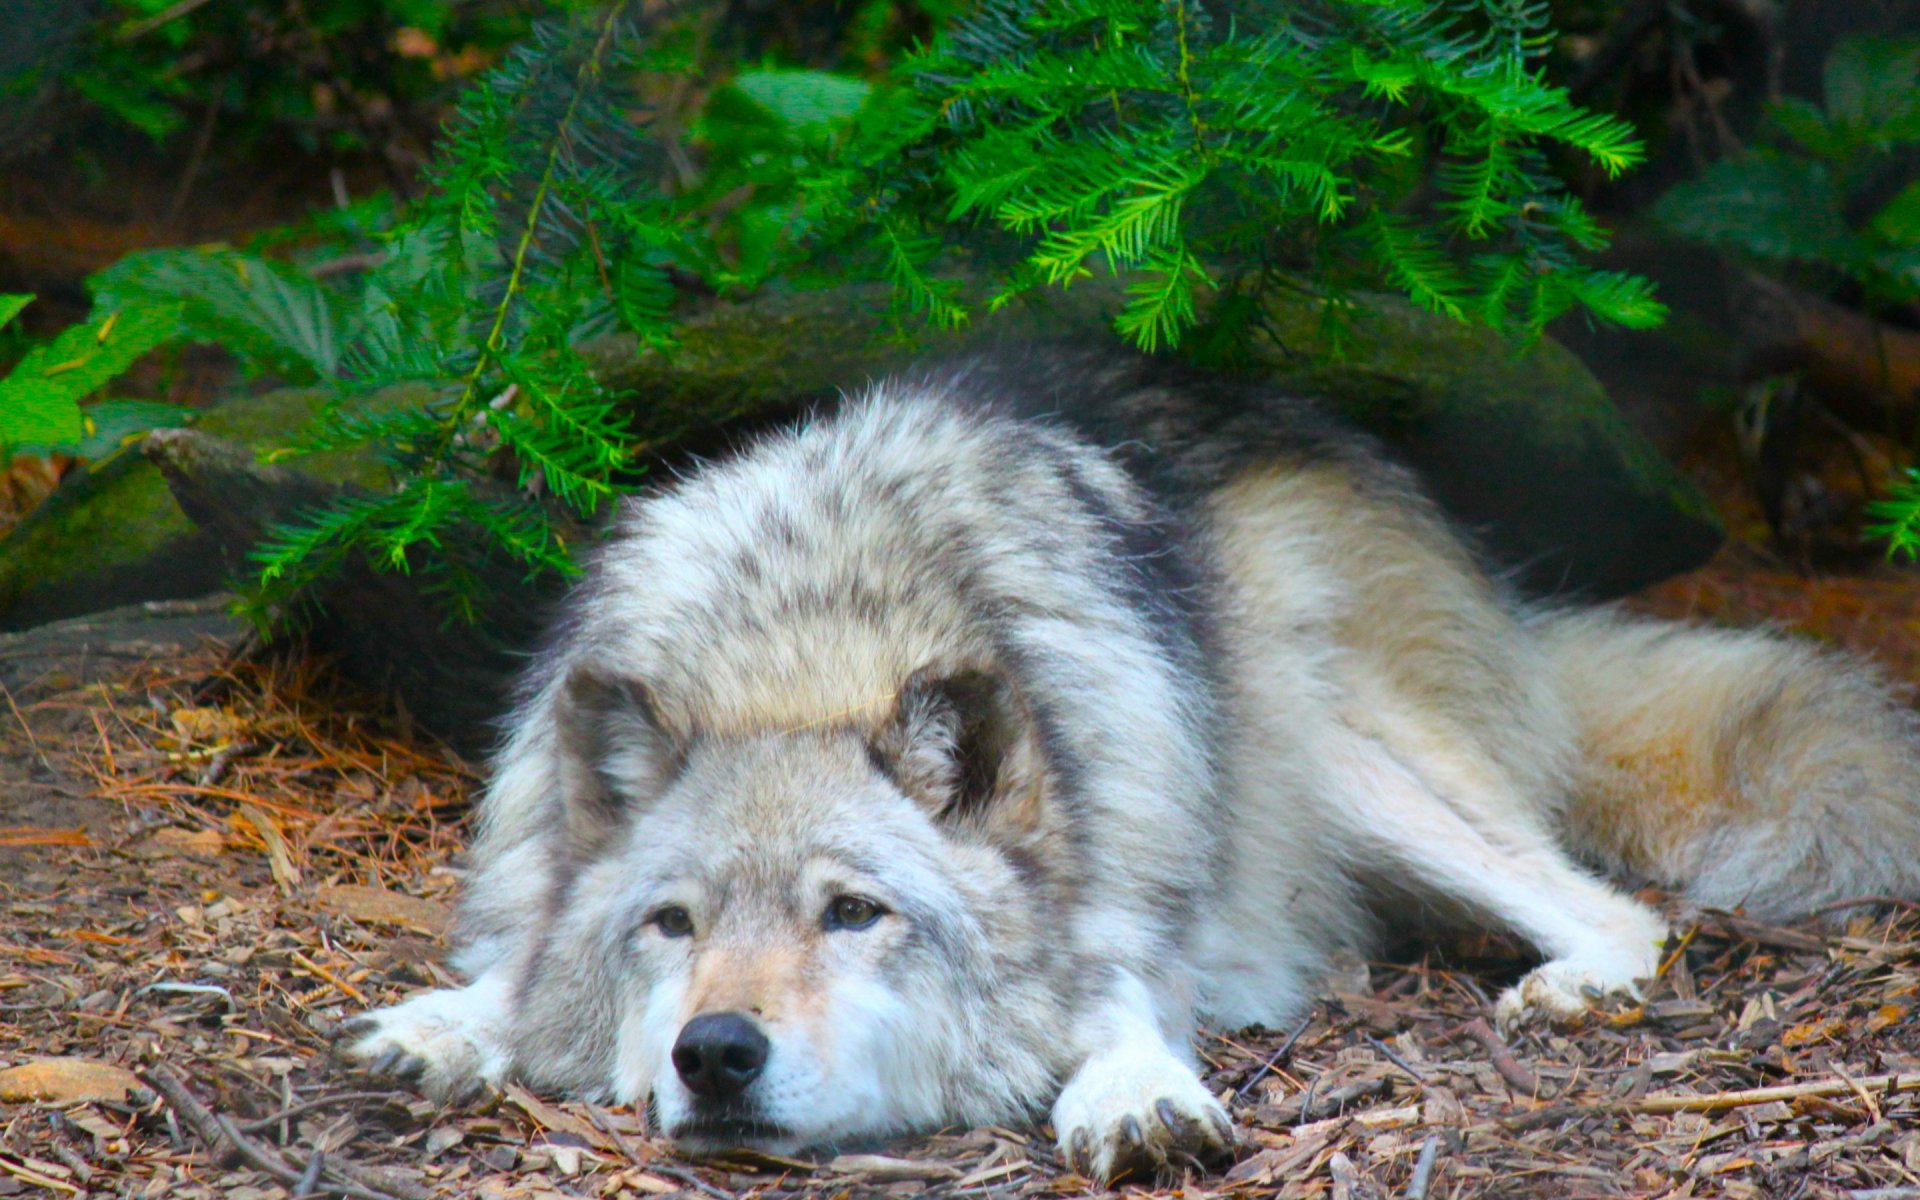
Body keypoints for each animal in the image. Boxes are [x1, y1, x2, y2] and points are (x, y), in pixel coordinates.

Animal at [337, 344, 1920, 1180]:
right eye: (670, 926)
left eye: (855, 914)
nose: (715, 1052)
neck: (807, 650)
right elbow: (516, 971)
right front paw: (450, 1023)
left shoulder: (1126, 879)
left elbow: (1118, 998)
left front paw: (1134, 1091)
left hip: (1328, 743)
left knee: (1616, 908)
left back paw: (1575, 986)